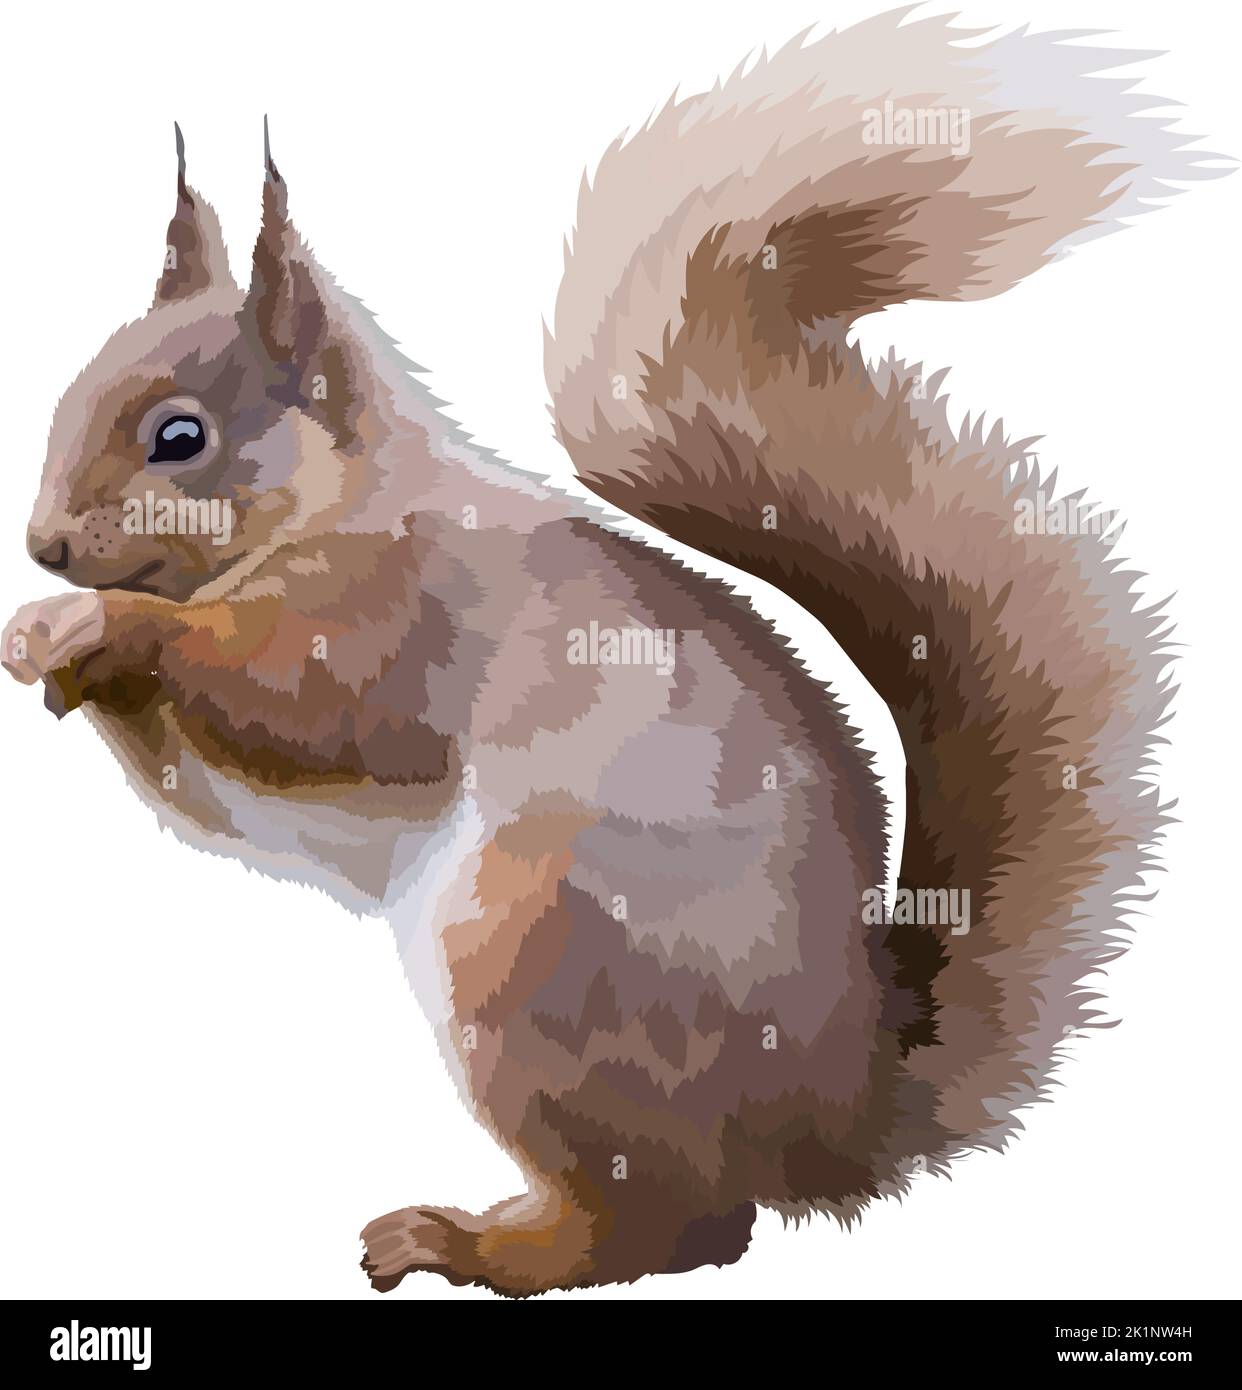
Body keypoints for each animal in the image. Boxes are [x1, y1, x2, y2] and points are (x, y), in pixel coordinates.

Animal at [1, 11, 1218, 1297]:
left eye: (180, 436)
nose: (43, 546)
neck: (346, 507)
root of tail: (839, 1118)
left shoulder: (403, 616)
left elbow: (300, 698)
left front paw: (99, 624)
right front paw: (43, 645)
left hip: (531, 954)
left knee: (680, 1227)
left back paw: (469, 1241)